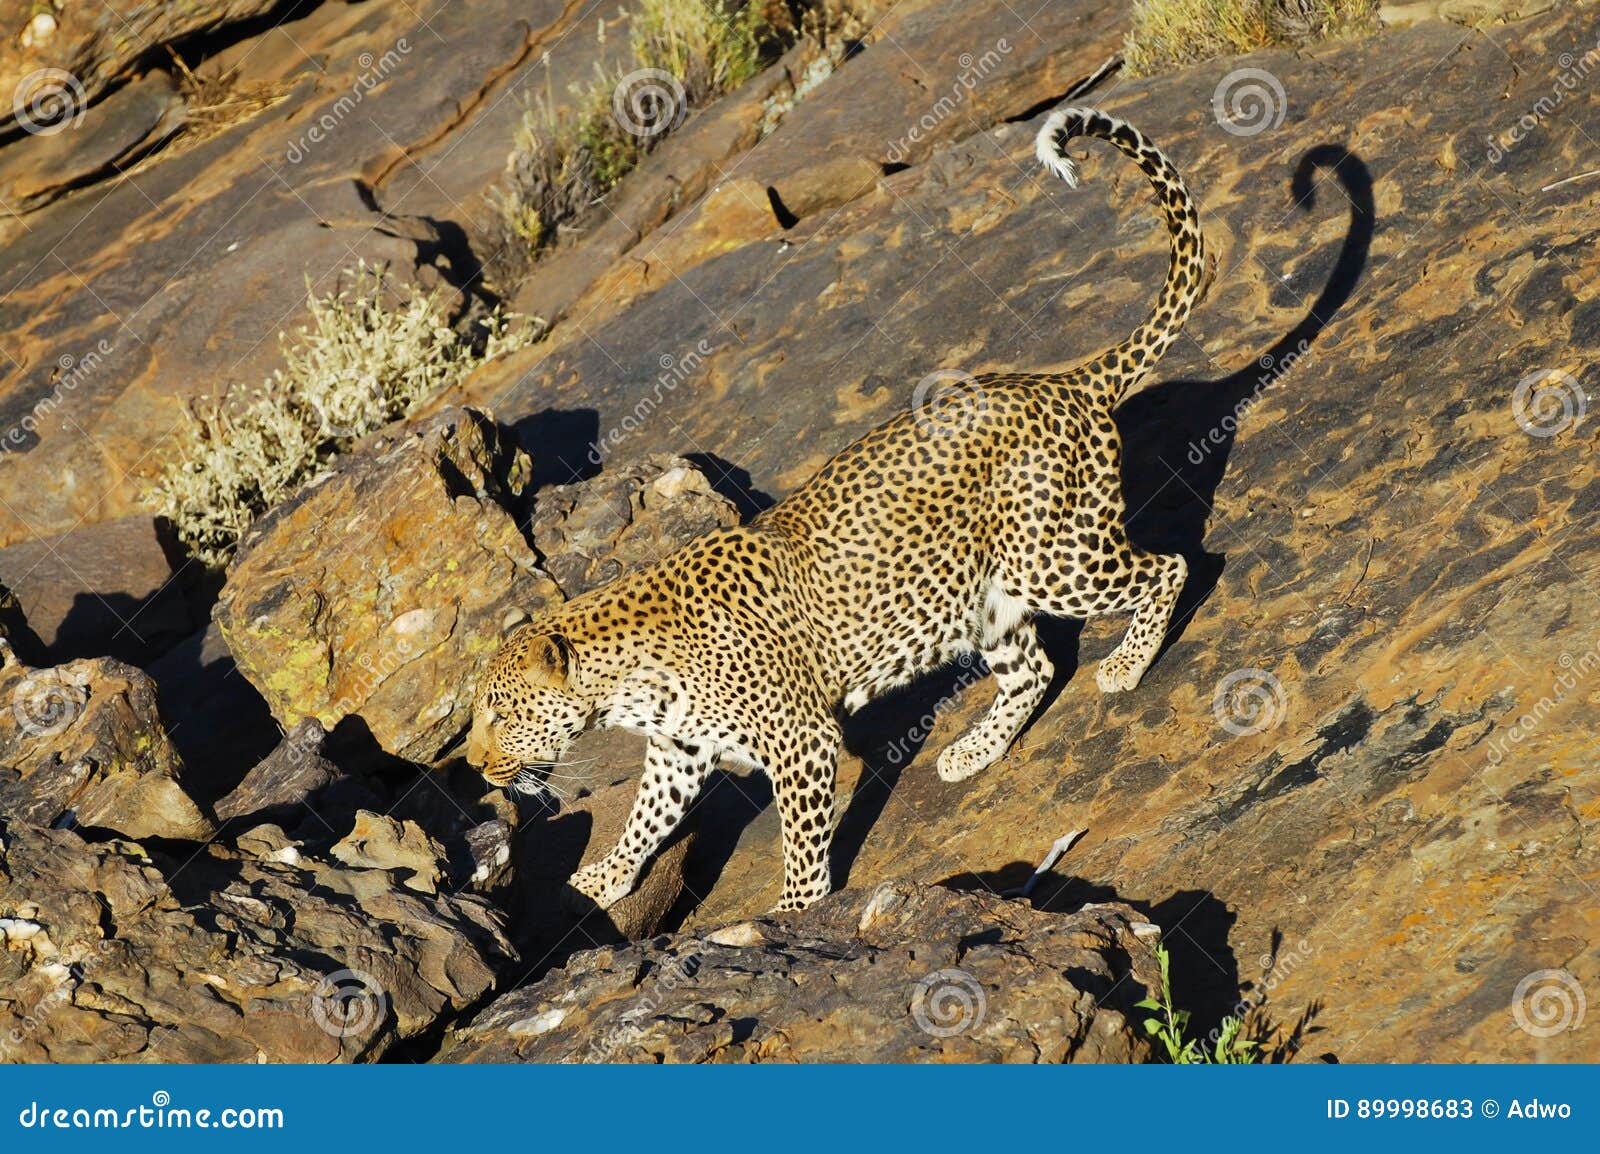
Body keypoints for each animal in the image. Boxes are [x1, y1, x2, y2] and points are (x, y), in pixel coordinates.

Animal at [467, 106, 1212, 914]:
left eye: (501, 715)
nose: (474, 768)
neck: (623, 684)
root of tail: (1060, 382)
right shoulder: (678, 751)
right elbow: (646, 816)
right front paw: (605, 874)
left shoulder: (800, 742)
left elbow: (799, 842)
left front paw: (795, 914)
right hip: (986, 598)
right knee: (1035, 668)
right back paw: (973, 750)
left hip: (1052, 558)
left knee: (1172, 564)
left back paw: (1127, 666)